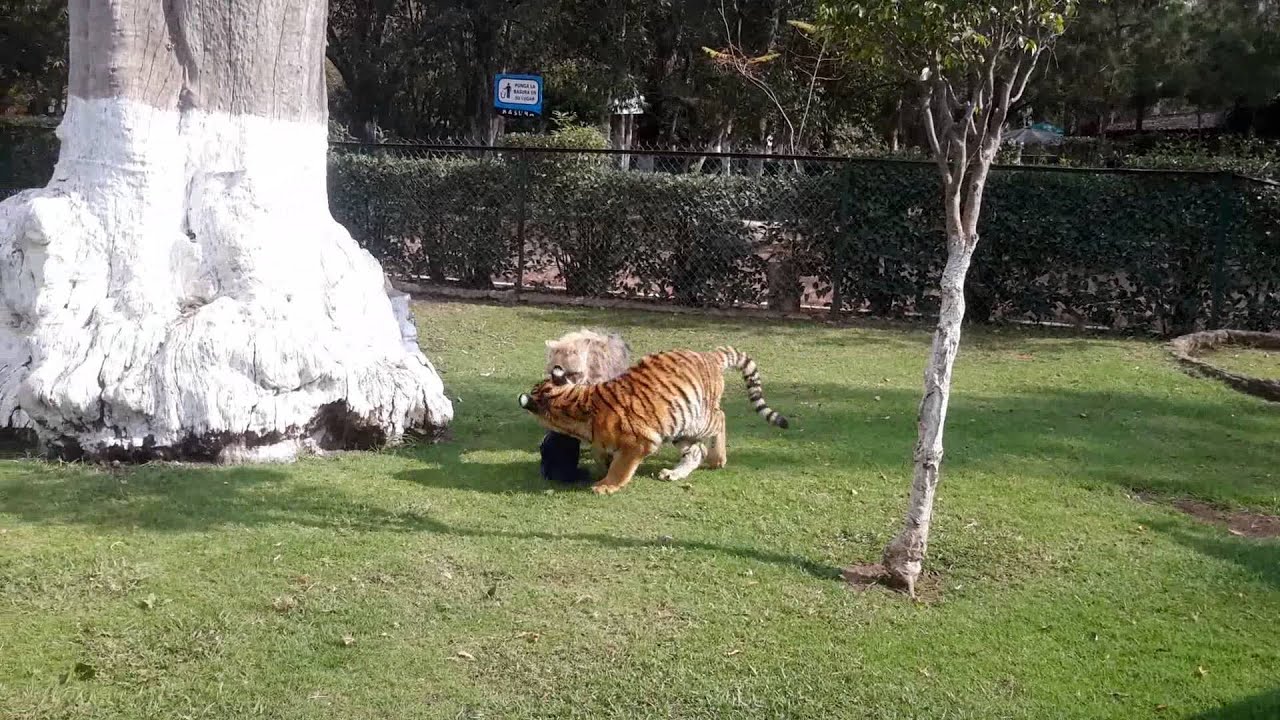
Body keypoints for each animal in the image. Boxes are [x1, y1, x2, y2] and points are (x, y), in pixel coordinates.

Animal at [518, 346, 789, 495]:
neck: (574, 402)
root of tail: (708, 355)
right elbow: (601, 454)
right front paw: (601, 468)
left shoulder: (637, 443)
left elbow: (620, 468)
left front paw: (605, 485)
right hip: (677, 426)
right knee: (696, 451)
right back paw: (674, 474)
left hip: (697, 418)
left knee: (719, 419)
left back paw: (718, 459)